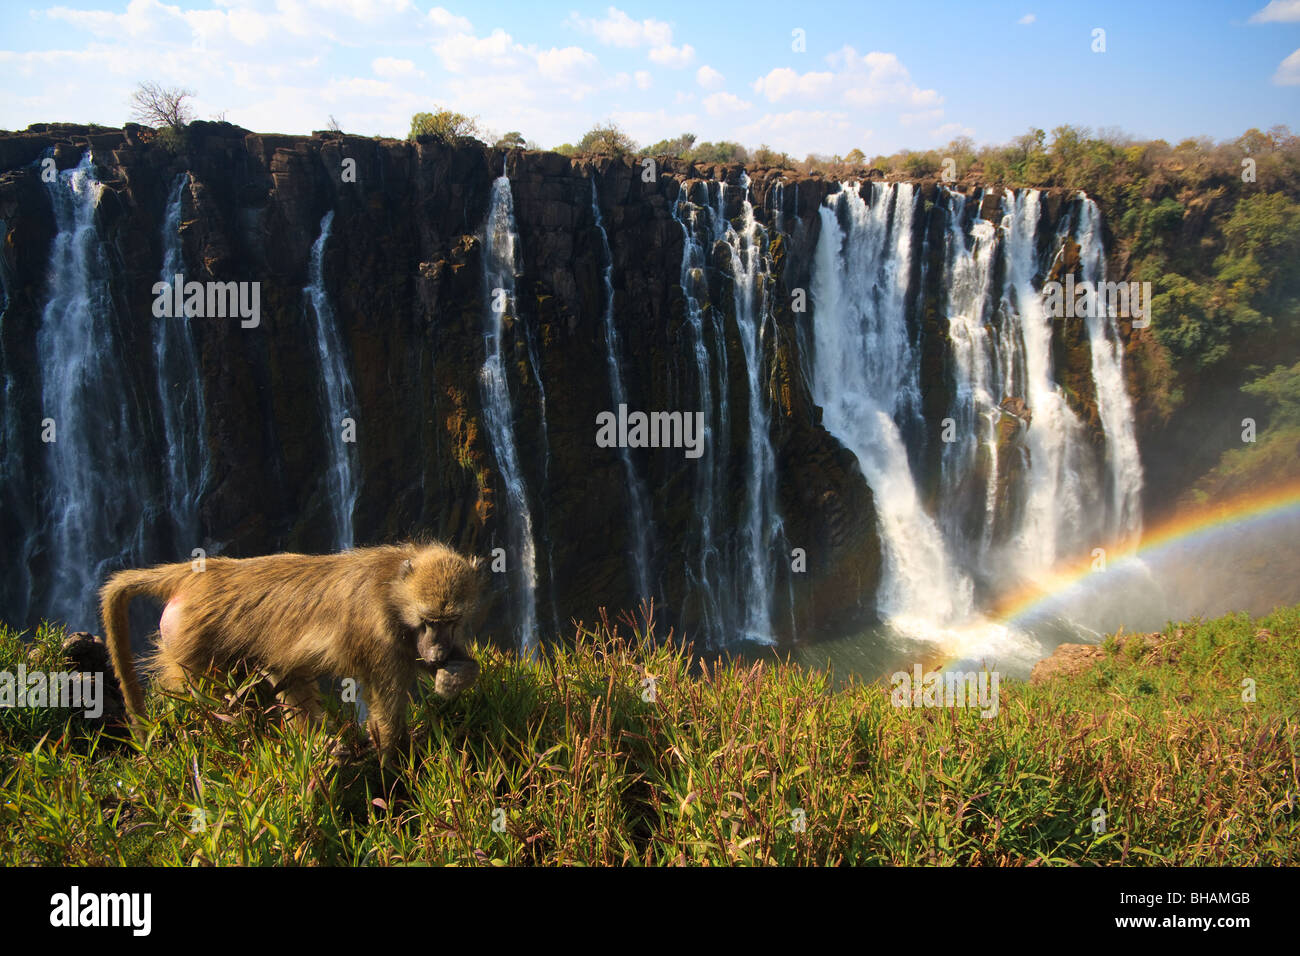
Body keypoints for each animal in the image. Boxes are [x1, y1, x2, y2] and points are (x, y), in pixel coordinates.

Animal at [100, 542, 485, 758]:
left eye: (451, 620)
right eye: (428, 620)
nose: (437, 652)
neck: (393, 587)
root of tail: (200, 575)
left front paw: (452, 675)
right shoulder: (377, 634)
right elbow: (386, 709)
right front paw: (395, 764)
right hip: (193, 644)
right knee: (208, 700)